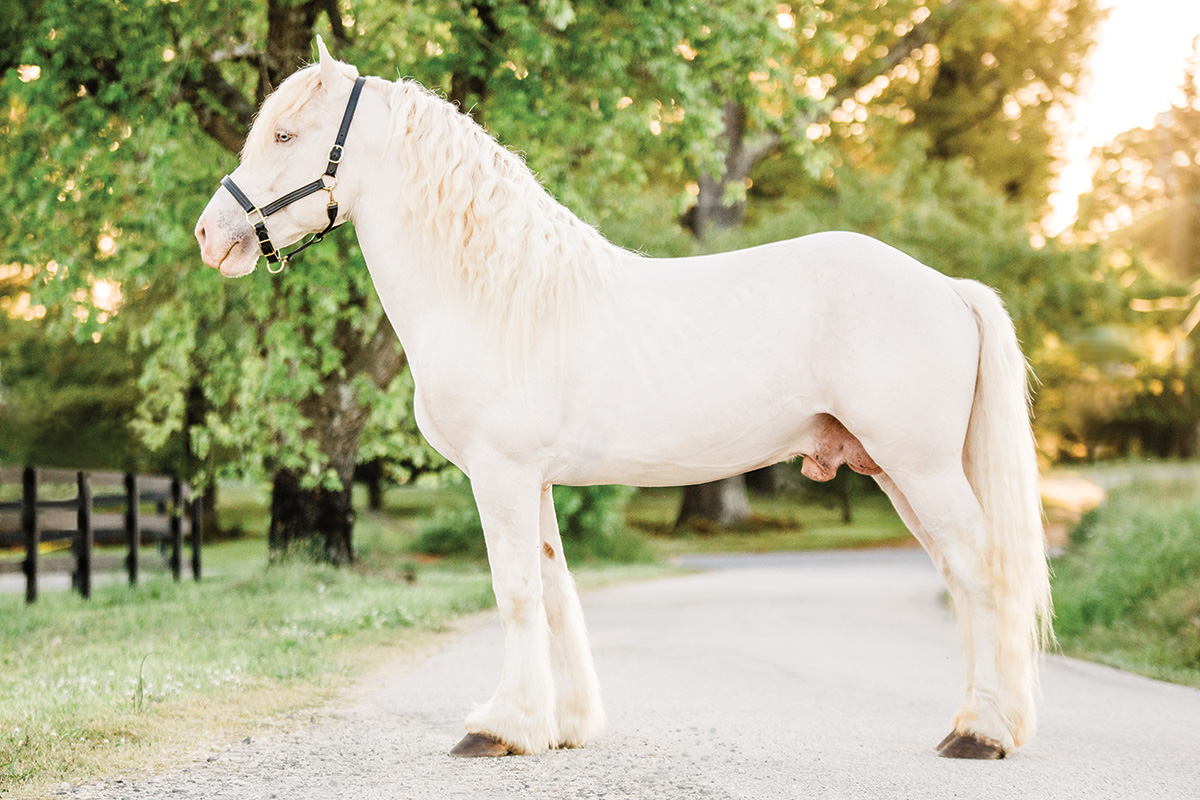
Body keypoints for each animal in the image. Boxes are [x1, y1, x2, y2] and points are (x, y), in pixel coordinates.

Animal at [195, 37, 1052, 761]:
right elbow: (554, 590)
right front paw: (560, 726)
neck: (495, 294)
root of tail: (947, 286)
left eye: (285, 136)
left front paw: (498, 728)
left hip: (922, 469)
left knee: (981, 573)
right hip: (898, 472)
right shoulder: (534, 481)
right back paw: (979, 722)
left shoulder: (501, 476)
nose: (209, 235)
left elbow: (515, 593)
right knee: (962, 578)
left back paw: (983, 733)